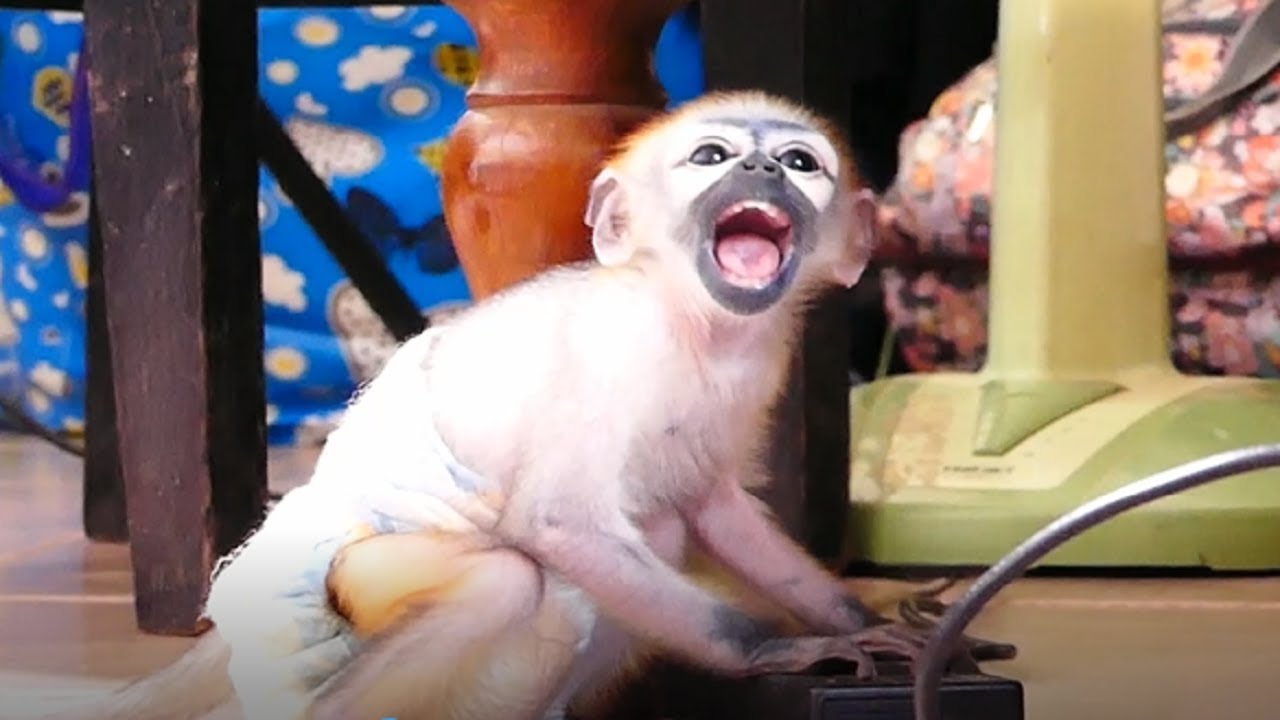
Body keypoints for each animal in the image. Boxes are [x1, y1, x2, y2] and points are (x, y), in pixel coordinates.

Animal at [45, 90, 933, 720]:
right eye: (711, 156)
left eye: (799, 161)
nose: (762, 174)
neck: (695, 324)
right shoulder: (617, 350)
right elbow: (558, 525)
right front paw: (772, 653)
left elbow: (713, 510)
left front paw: (858, 618)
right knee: (504, 581)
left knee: (654, 534)